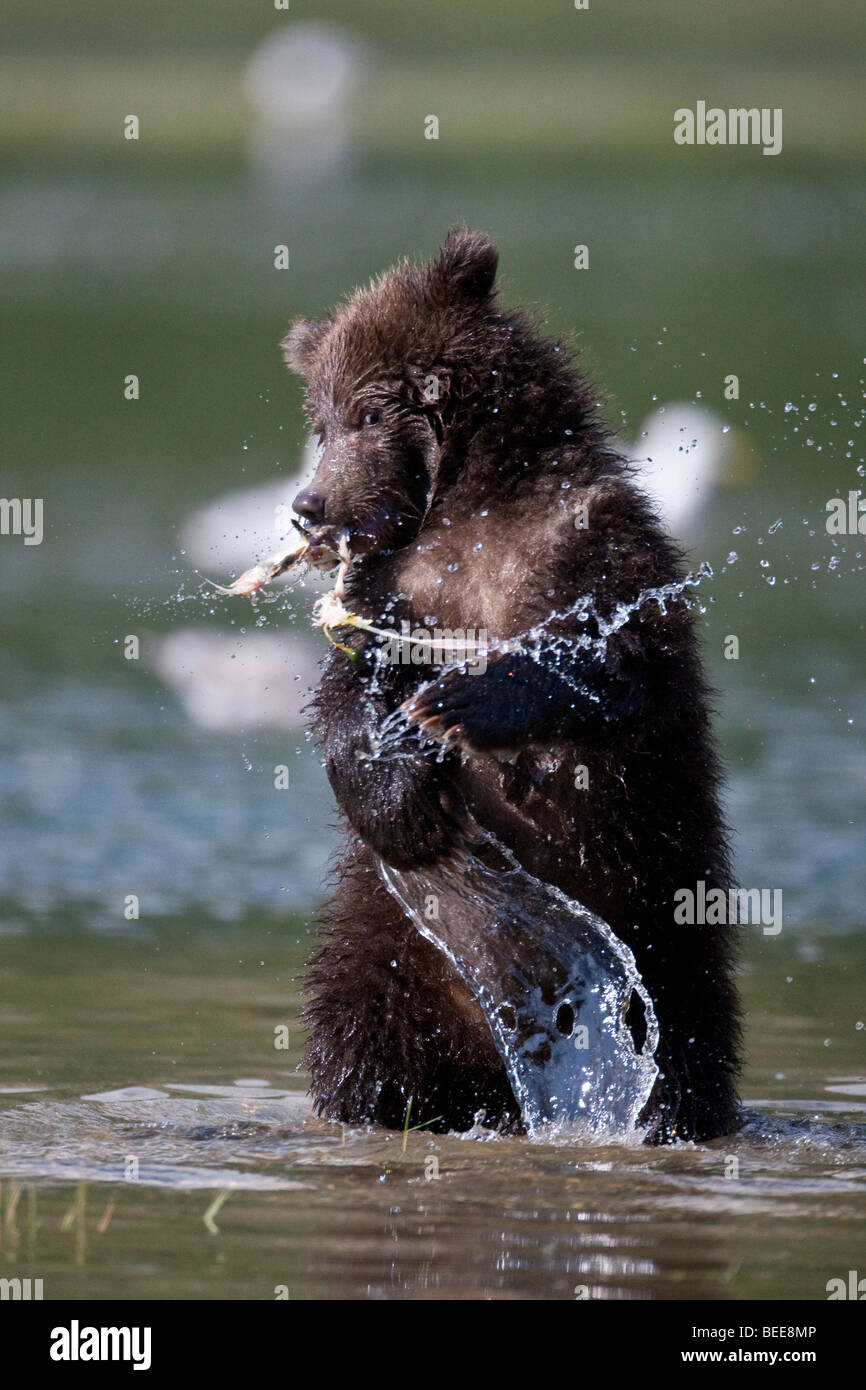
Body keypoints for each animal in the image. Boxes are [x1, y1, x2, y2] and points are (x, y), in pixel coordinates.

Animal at [282, 226, 741, 1143]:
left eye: (369, 411)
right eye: (321, 419)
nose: (308, 508)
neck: (468, 515)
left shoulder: (592, 549)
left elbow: (611, 667)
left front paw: (462, 700)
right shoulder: (391, 589)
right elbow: (347, 688)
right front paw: (400, 791)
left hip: (663, 917)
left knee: (686, 1052)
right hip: (384, 942)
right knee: (359, 1038)